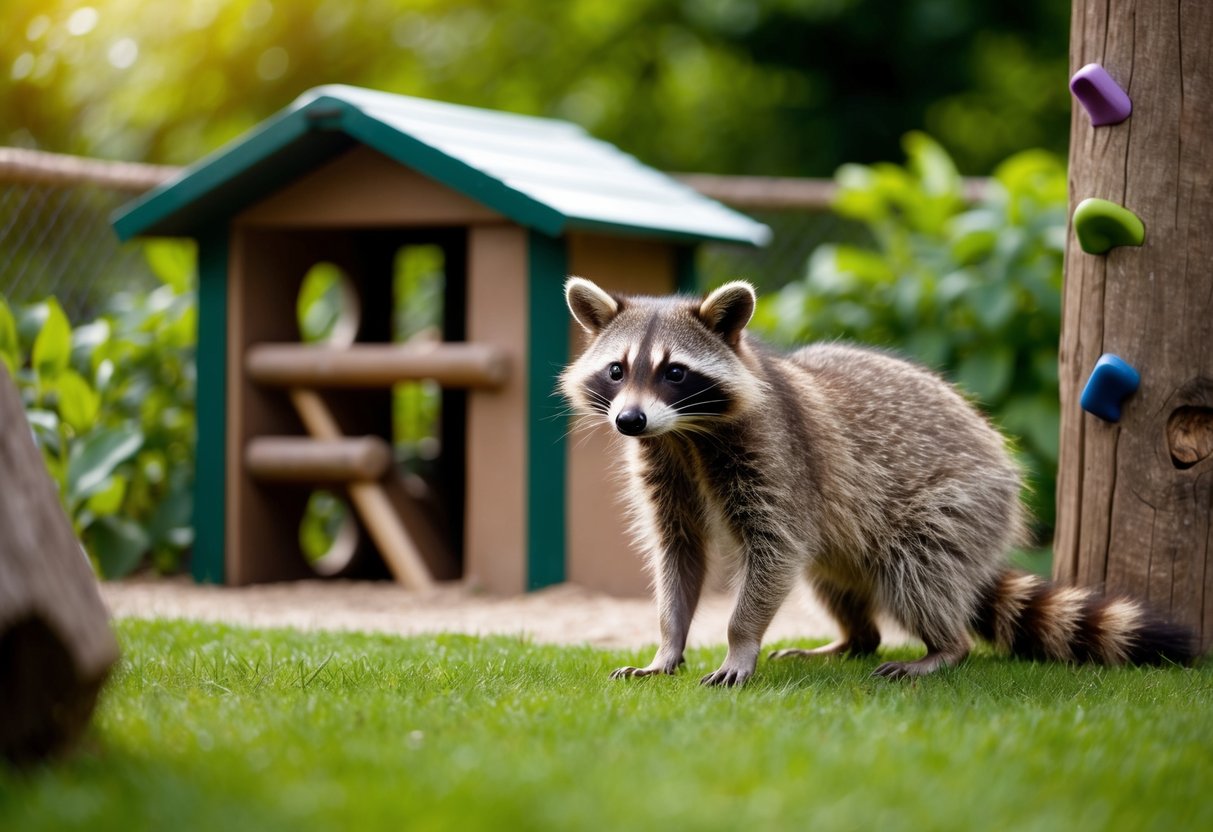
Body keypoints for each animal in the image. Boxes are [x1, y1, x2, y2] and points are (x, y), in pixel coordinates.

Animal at [560, 276, 1198, 685]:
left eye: (674, 372)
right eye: (616, 370)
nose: (629, 420)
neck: (685, 434)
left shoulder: (777, 457)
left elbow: (774, 548)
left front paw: (740, 644)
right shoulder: (665, 467)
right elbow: (679, 551)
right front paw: (668, 644)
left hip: (962, 503)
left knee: (917, 569)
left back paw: (944, 648)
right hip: (851, 544)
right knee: (830, 578)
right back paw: (852, 639)